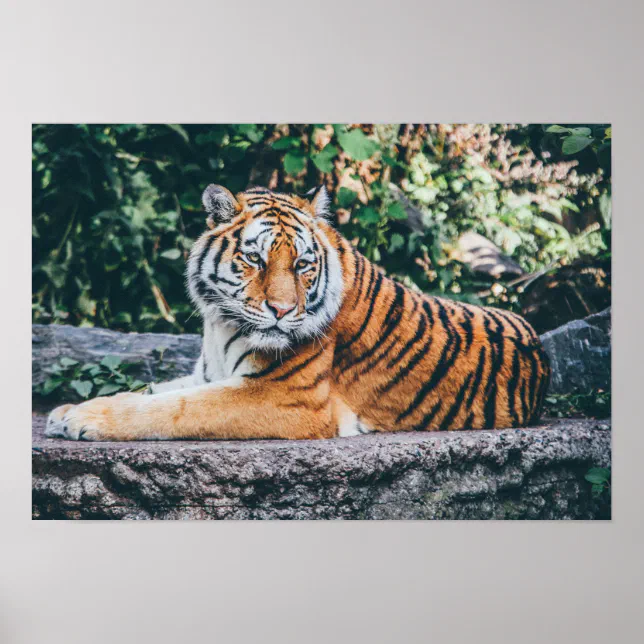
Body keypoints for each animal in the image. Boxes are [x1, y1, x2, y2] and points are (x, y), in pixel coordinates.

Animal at [46, 184, 550, 441]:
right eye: (255, 259)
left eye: (303, 265)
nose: (283, 310)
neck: (220, 324)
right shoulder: (208, 373)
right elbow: (152, 391)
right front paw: (67, 410)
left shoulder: (285, 397)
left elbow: (174, 408)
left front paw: (83, 420)